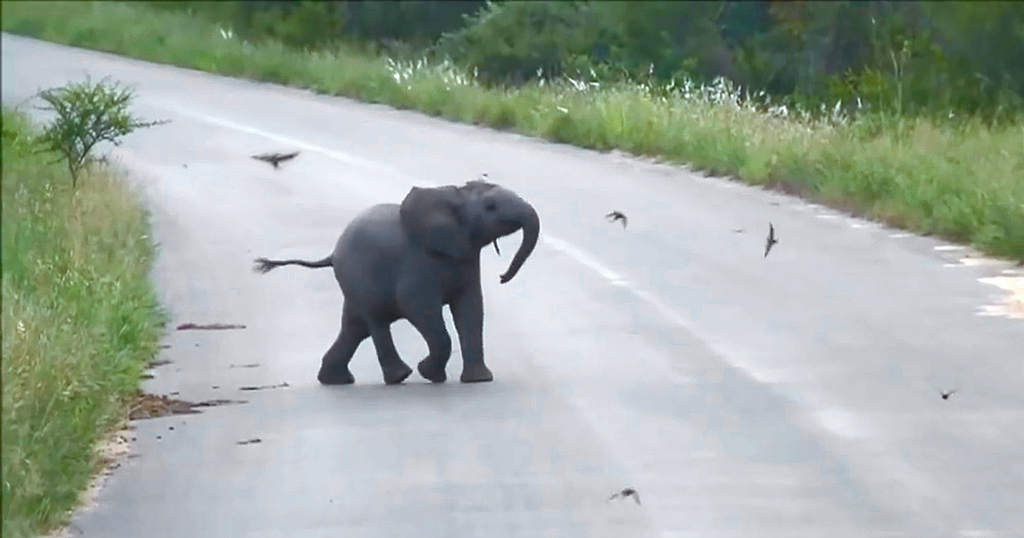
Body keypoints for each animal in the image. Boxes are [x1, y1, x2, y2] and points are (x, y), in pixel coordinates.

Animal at [253, 179, 541, 385]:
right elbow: (419, 307)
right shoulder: (417, 264)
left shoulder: (466, 258)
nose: (502, 277)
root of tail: (333, 254)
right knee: (375, 322)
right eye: (491, 207)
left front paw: (479, 380)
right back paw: (398, 377)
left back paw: (335, 380)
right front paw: (431, 374)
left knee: (355, 327)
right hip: (357, 277)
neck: (453, 195)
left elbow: (470, 309)